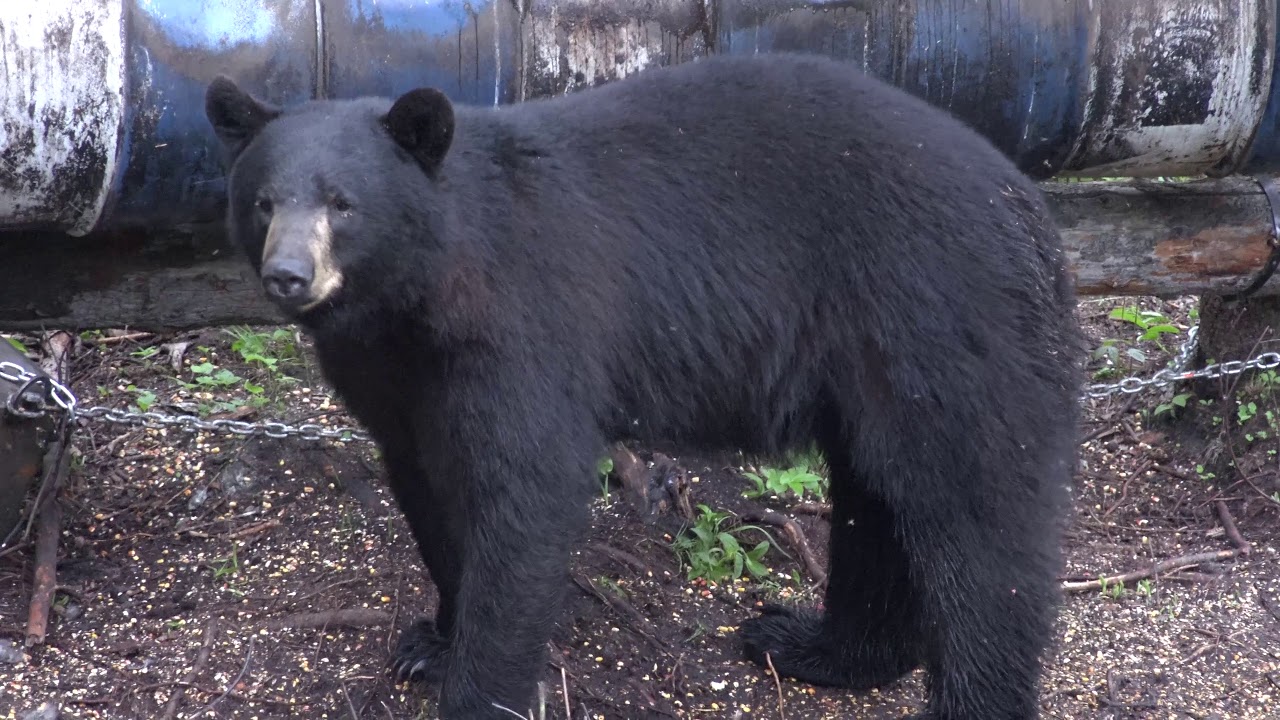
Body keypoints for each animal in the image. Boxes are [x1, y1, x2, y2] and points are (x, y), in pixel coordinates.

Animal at [204, 52, 1081, 720]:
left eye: (342, 205)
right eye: (264, 202)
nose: (289, 276)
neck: (416, 296)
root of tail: (1030, 208)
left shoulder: (527, 327)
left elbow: (524, 494)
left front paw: (480, 688)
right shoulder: (392, 376)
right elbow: (428, 490)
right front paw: (433, 641)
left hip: (940, 320)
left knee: (980, 527)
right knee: (878, 501)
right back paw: (816, 647)